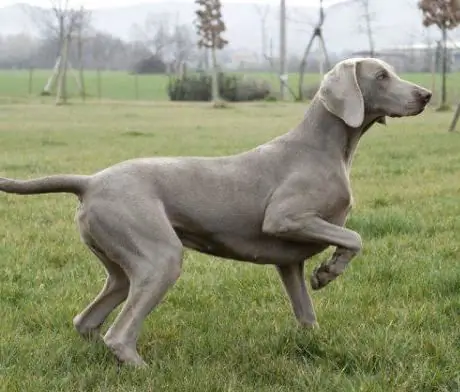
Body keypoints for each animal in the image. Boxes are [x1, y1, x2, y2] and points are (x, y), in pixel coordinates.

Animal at [0, 58, 432, 368]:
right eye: (381, 75)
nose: (427, 94)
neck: (327, 147)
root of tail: (89, 181)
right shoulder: (284, 218)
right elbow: (354, 237)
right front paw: (328, 271)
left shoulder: (288, 260)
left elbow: (306, 312)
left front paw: (314, 337)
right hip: (160, 257)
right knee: (118, 334)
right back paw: (142, 369)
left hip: (121, 267)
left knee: (87, 320)